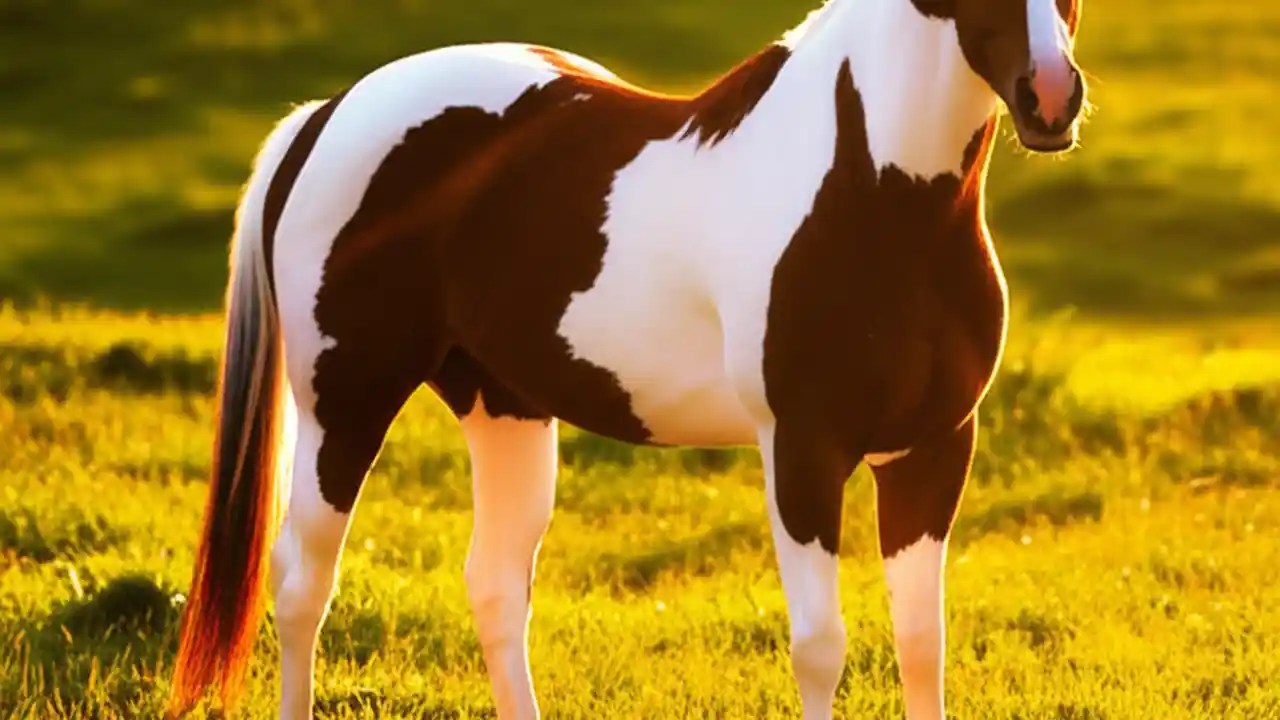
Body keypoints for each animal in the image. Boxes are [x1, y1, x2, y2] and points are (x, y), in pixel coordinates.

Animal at [167, 0, 1087, 717]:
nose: (1051, 97)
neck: (881, 197)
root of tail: (329, 112)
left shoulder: (933, 448)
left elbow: (922, 642)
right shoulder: (802, 450)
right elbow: (821, 646)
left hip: (503, 407)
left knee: (493, 586)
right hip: (343, 401)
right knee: (301, 585)